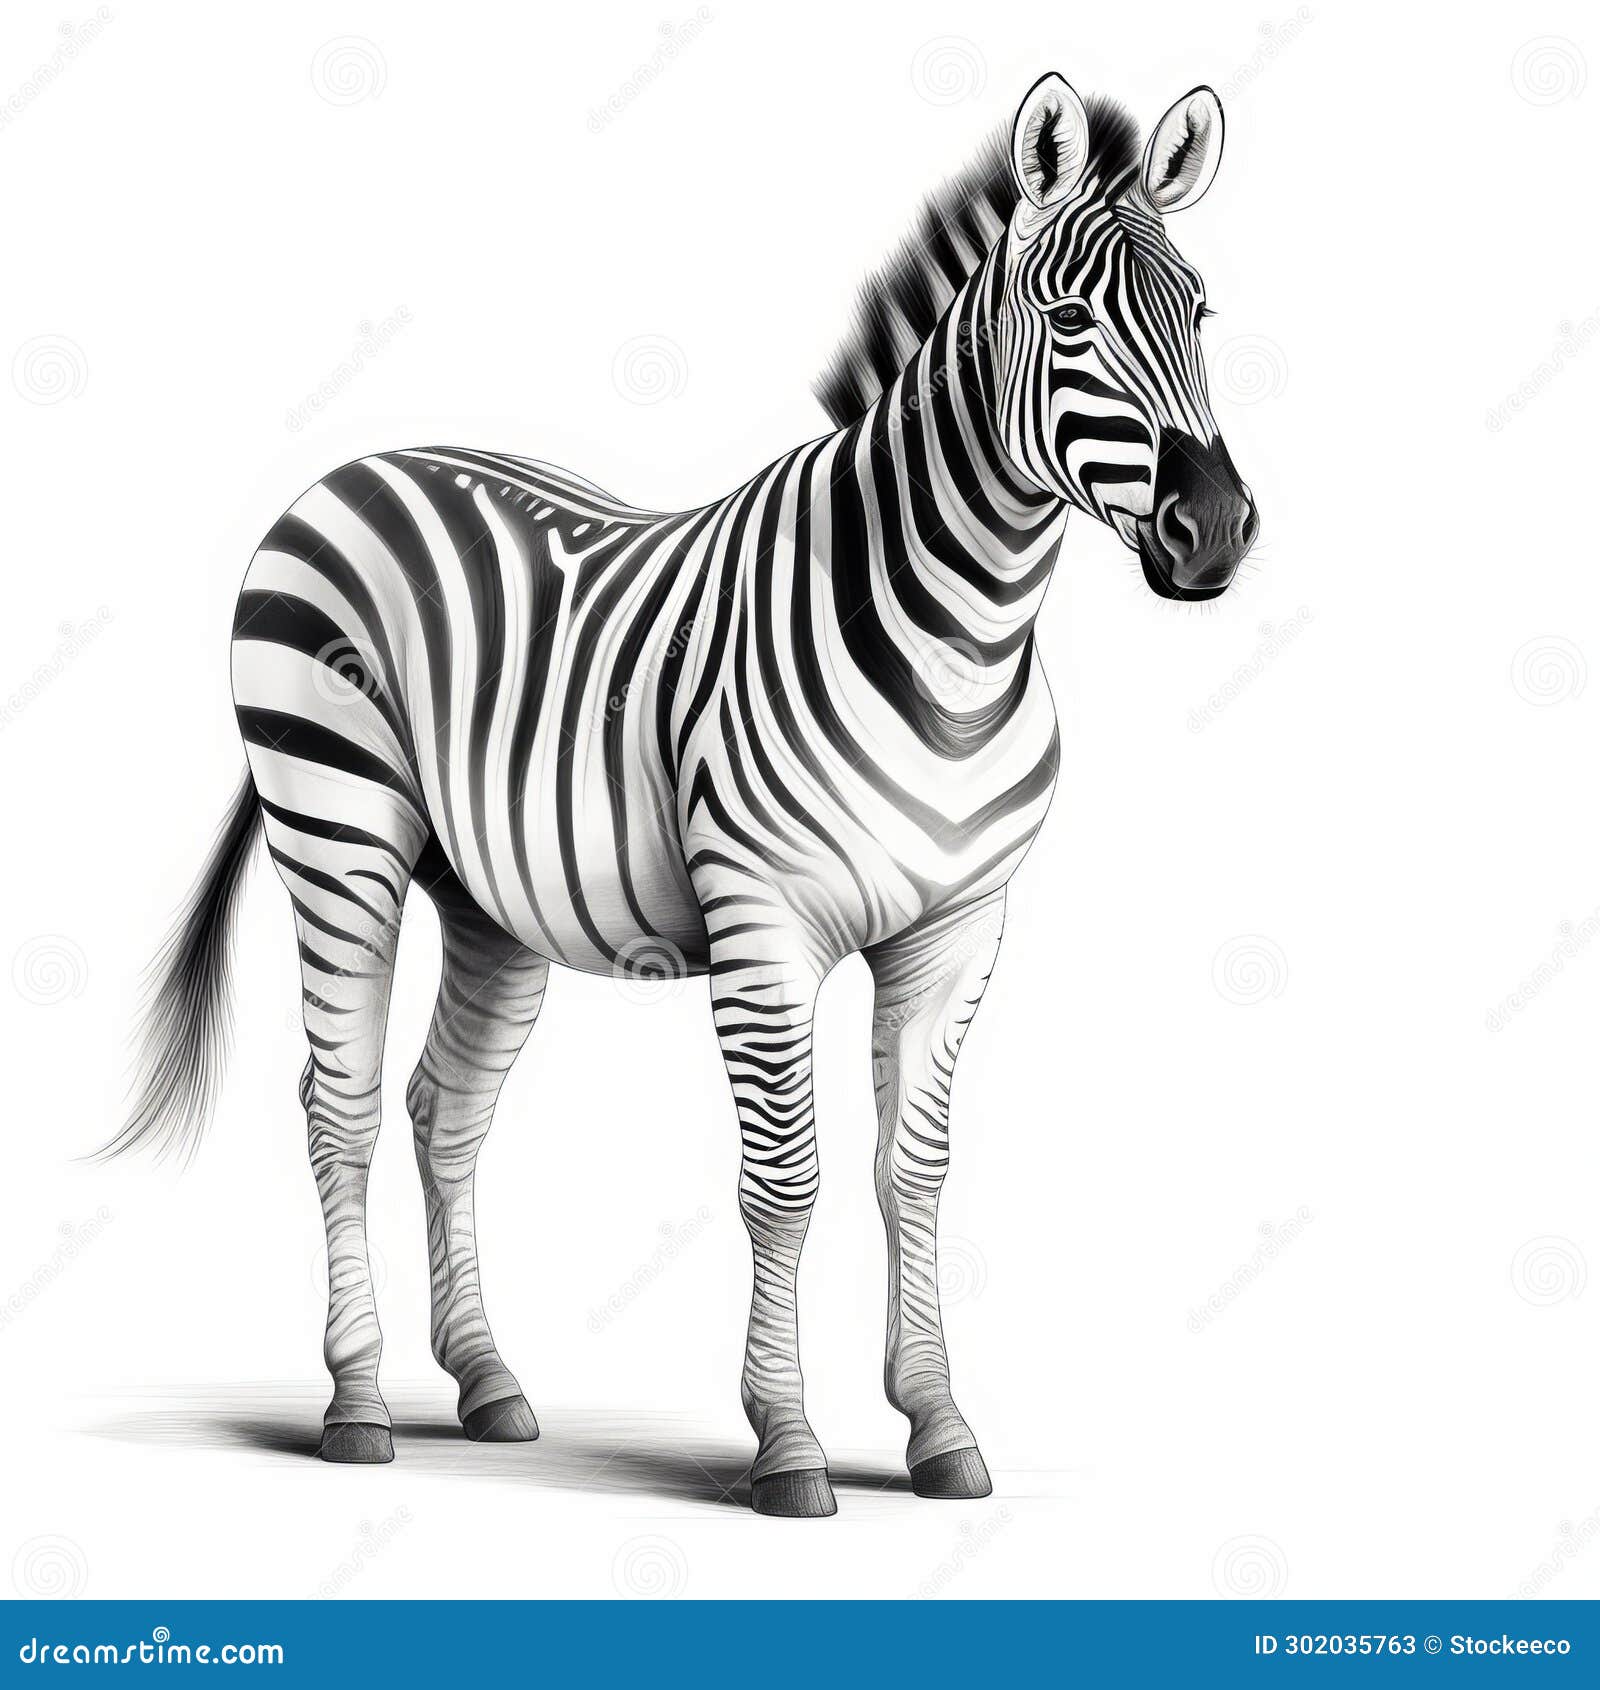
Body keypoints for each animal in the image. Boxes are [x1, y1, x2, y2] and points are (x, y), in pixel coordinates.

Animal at [104, 73, 1257, 1517]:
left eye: (1202, 312)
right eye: (1067, 322)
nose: (1216, 535)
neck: (962, 643)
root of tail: (356, 469)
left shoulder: (957, 930)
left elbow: (913, 1173)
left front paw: (939, 1428)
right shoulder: (764, 925)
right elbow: (787, 1179)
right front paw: (789, 1445)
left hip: (487, 899)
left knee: (444, 1108)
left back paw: (485, 1383)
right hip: (337, 828)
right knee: (341, 1107)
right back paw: (358, 1404)